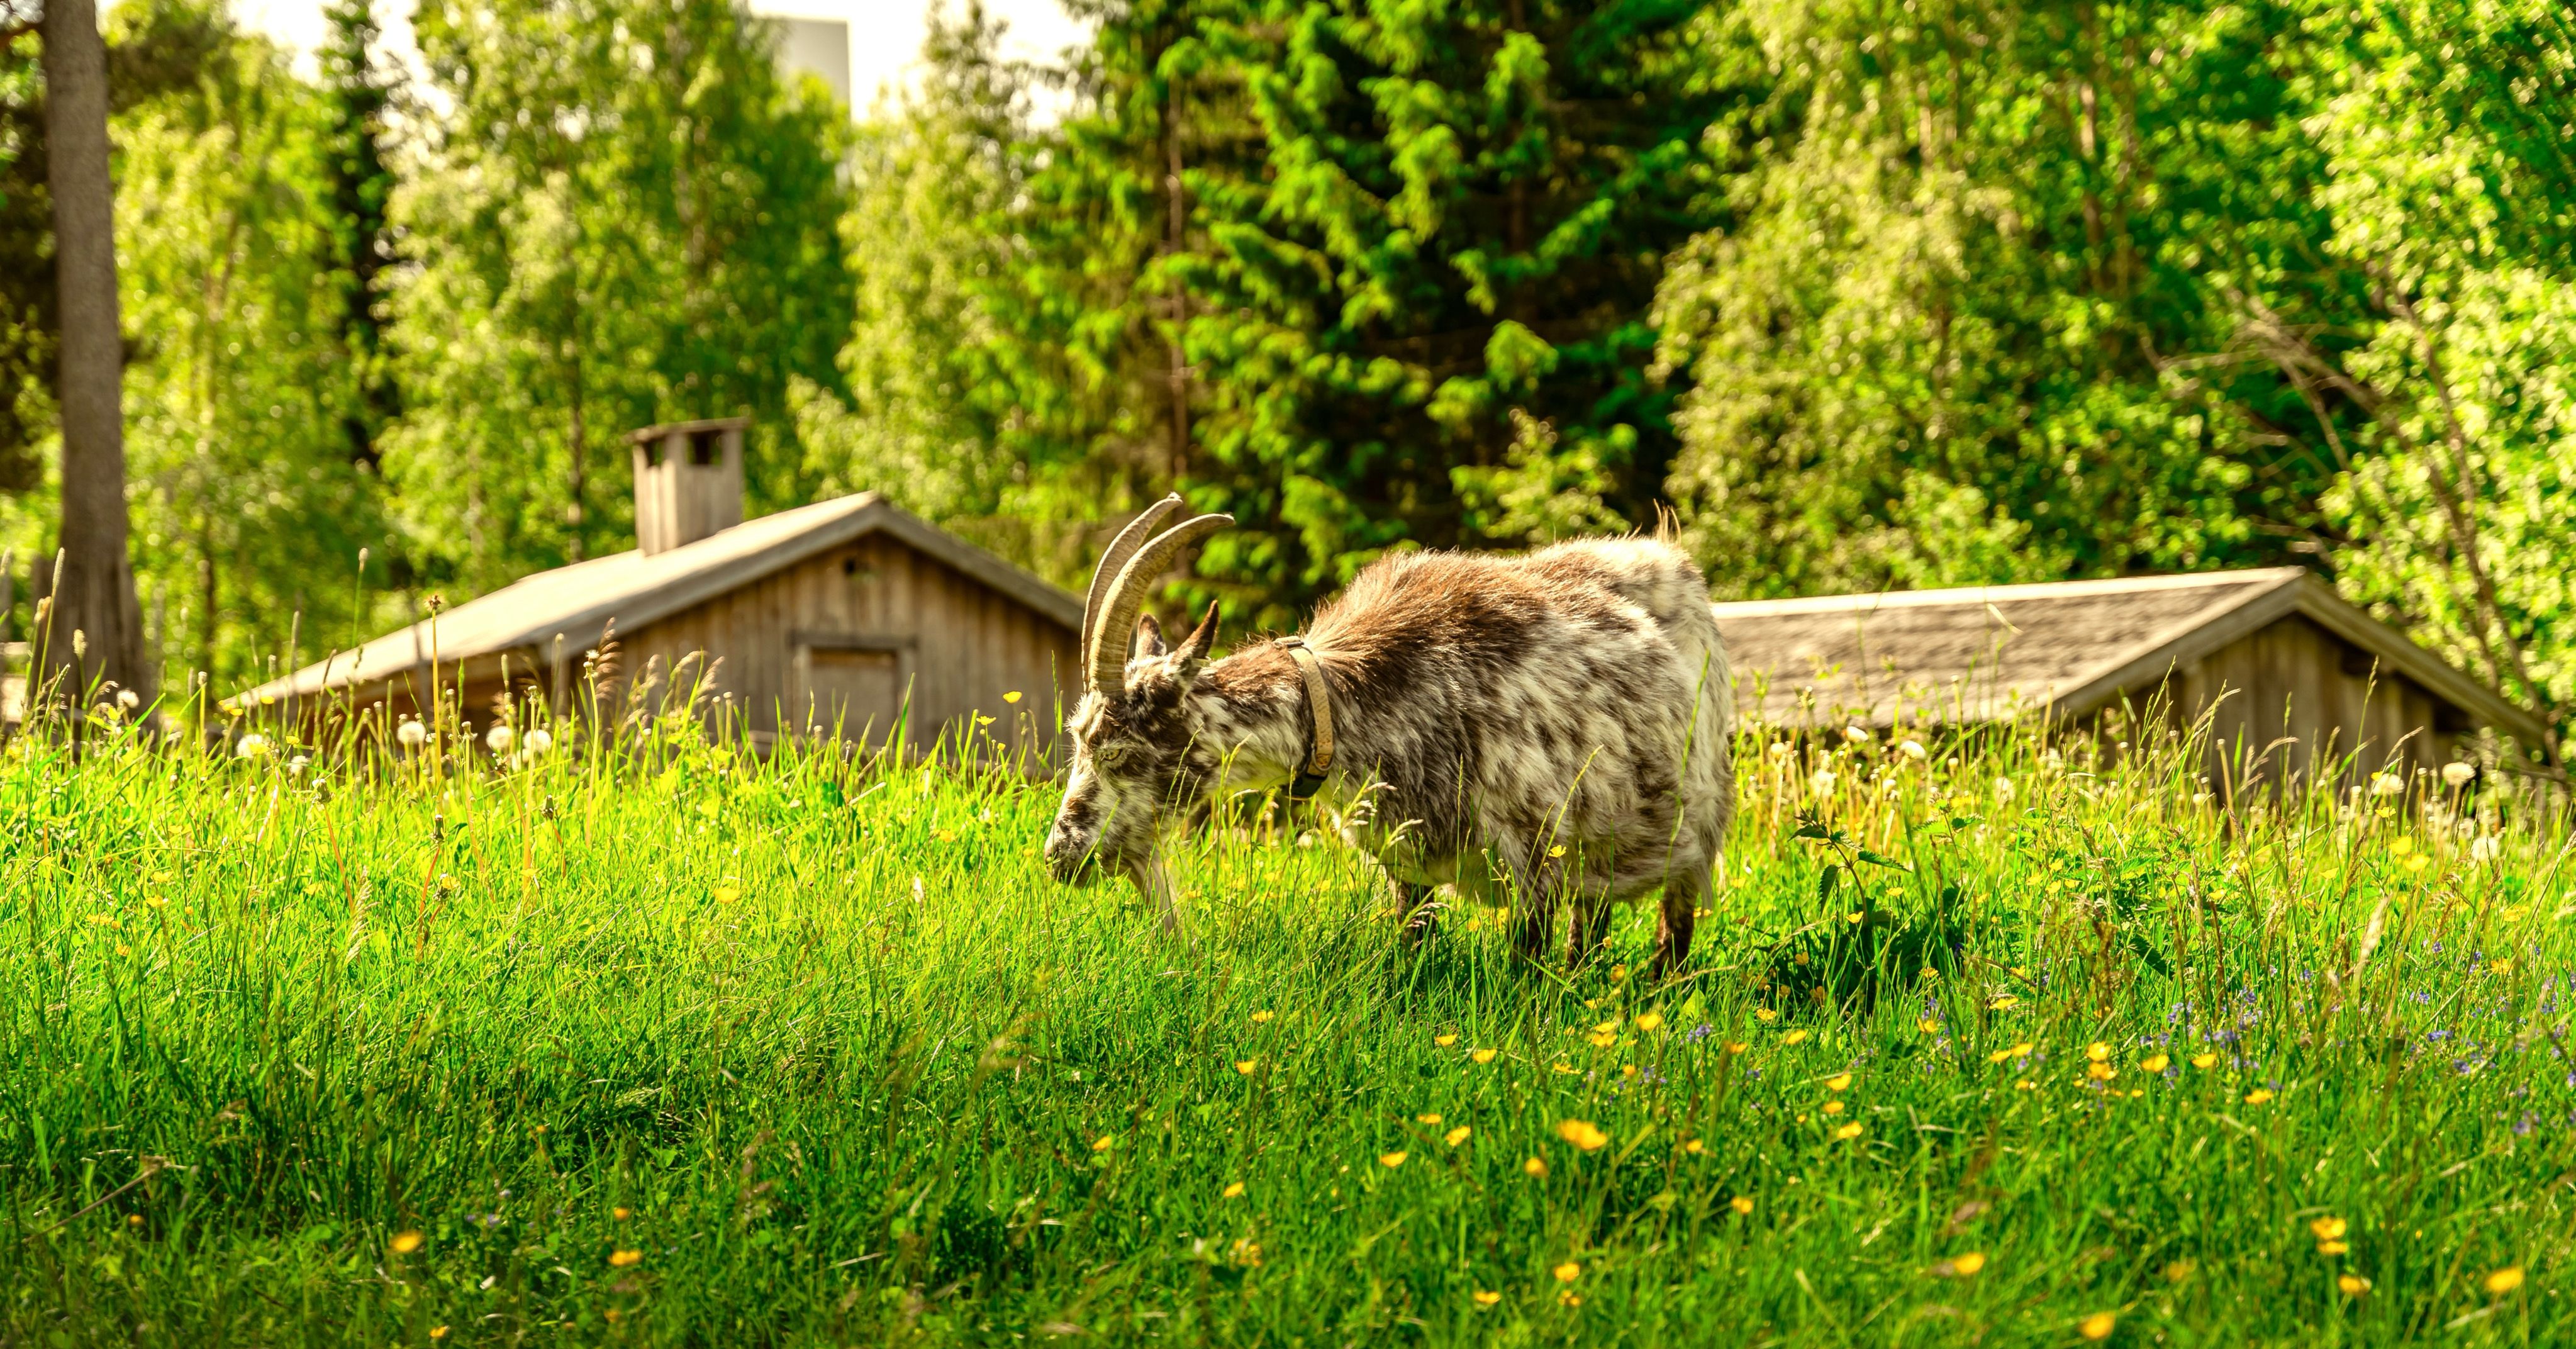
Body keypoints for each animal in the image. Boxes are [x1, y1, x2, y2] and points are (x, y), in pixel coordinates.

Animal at [1041, 497, 1735, 971]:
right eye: (1078, 741)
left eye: (1121, 751)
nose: (1060, 854)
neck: (1356, 701)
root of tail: (1671, 554)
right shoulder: (1411, 863)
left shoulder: (1531, 861)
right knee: (1589, 931)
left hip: (1692, 831)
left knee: (1671, 932)